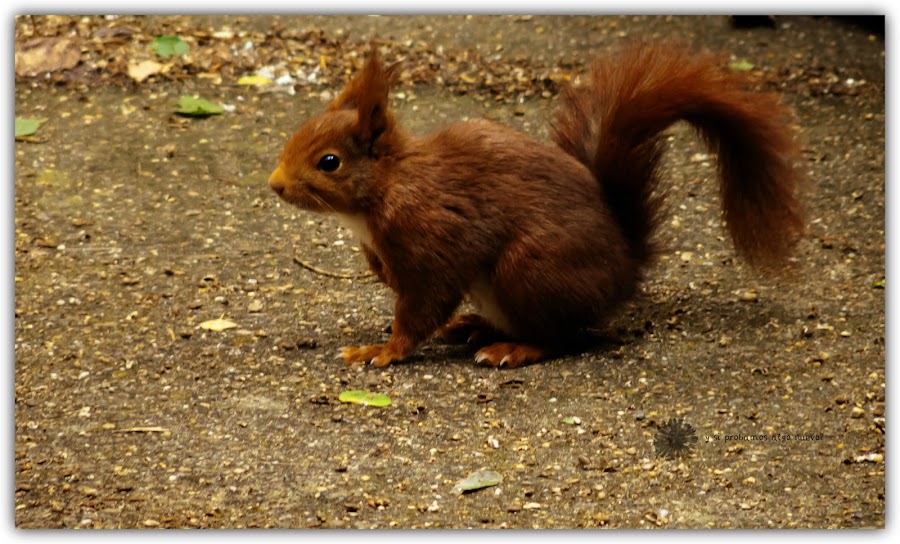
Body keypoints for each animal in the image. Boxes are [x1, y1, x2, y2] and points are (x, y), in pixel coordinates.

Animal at [268, 43, 804, 368]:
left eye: (329, 162)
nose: (275, 185)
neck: (385, 187)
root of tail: (626, 266)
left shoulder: (430, 233)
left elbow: (423, 303)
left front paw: (381, 350)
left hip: (532, 269)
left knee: (562, 336)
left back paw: (511, 348)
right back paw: (473, 326)